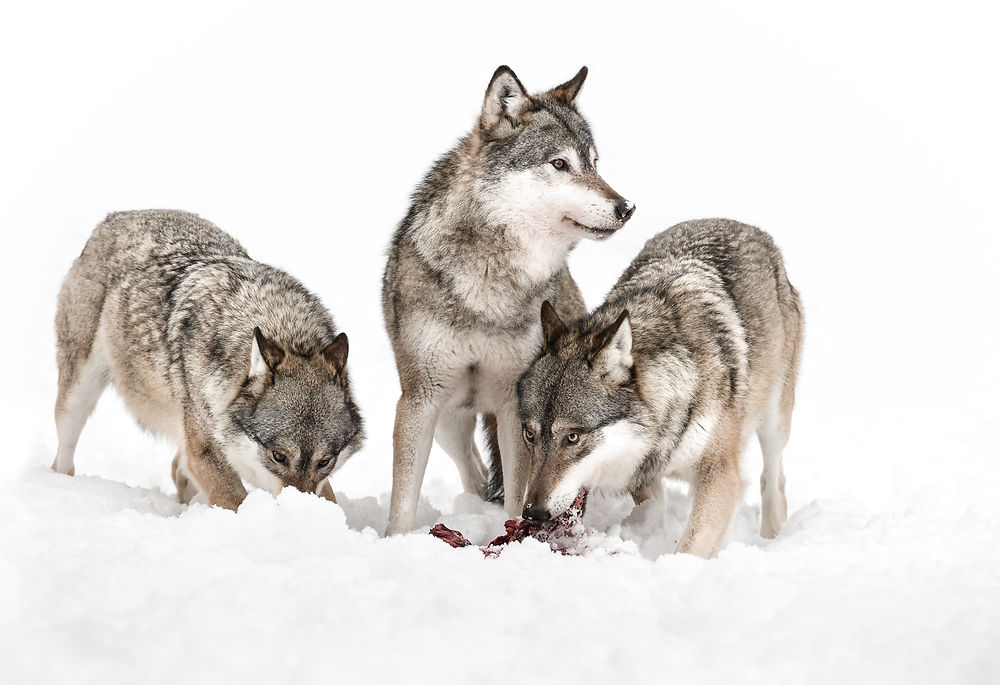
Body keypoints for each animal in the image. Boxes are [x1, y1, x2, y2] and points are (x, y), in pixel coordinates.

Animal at [53, 209, 364, 509]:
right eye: (278, 456)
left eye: (324, 461)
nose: (300, 507)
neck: (281, 326)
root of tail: (117, 216)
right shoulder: (204, 451)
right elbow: (235, 502)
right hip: (77, 397)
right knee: (63, 458)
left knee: (177, 468)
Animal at [382, 65, 635, 534]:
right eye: (559, 164)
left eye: (594, 164)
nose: (626, 207)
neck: (489, 283)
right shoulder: (422, 398)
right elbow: (403, 500)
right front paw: (396, 542)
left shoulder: (515, 405)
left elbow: (520, 495)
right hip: (443, 416)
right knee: (475, 472)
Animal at [516, 219, 803, 558]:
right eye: (529, 435)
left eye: (572, 437)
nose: (532, 513)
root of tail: (739, 224)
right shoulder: (642, 476)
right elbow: (656, 514)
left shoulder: (720, 475)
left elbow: (690, 547)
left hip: (774, 422)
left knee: (773, 477)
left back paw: (772, 536)